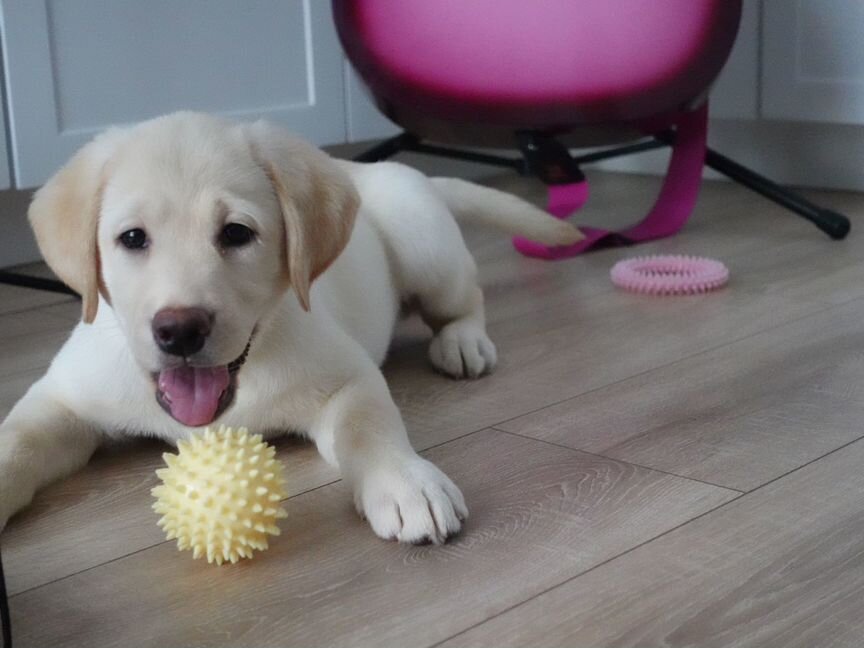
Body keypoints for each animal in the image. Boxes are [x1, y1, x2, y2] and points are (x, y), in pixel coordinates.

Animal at [1, 111, 580, 540]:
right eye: (132, 238)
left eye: (236, 233)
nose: (180, 330)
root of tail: (367, 170)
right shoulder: (61, 399)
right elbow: (16, 441)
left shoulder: (349, 377)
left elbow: (368, 426)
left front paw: (406, 481)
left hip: (424, 244)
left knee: (466, 297)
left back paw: (463, 342)